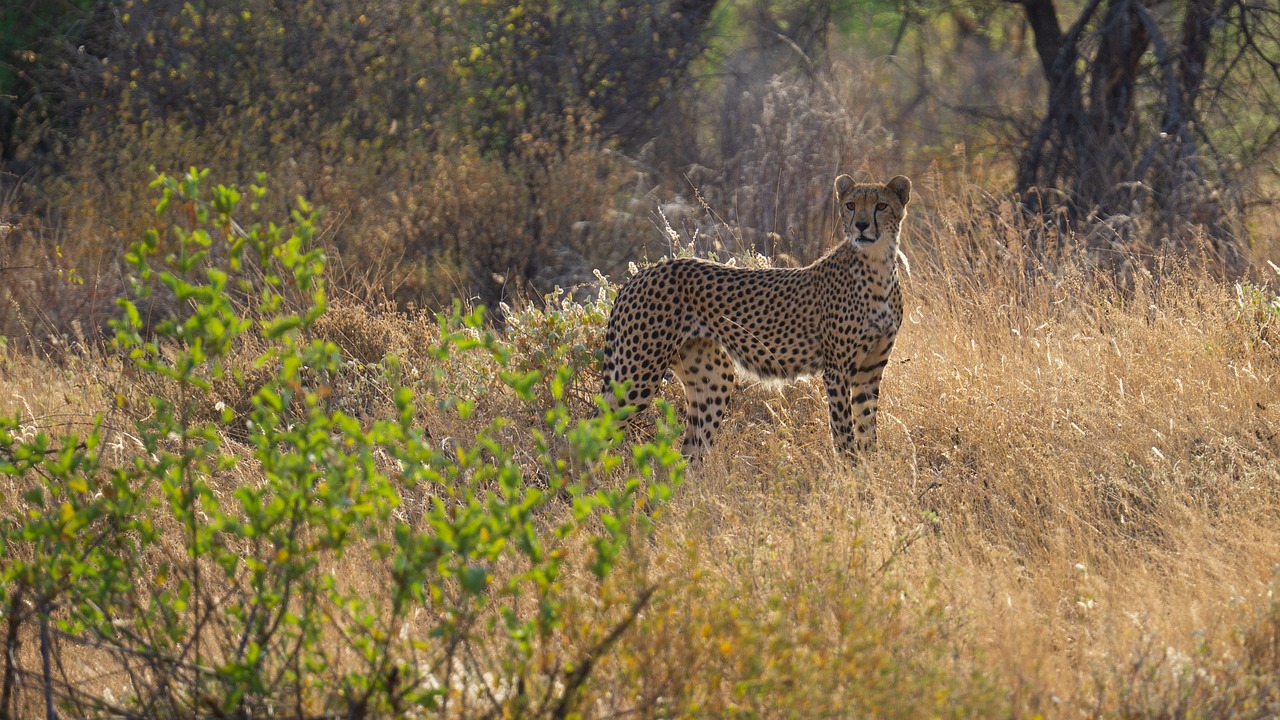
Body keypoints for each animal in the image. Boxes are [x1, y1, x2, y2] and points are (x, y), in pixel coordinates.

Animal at [600, 174, 912, 460]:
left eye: (881, 205)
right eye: (850, 205)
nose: (861, 225)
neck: (877, 265)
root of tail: (640, 273)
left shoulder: (869, 371)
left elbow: (867, 430)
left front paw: (870, 472)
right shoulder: (838, 371)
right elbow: (844, 433)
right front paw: (850, 474)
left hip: (714, 378)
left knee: (690, 451)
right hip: (637, 375)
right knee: (594, 430)